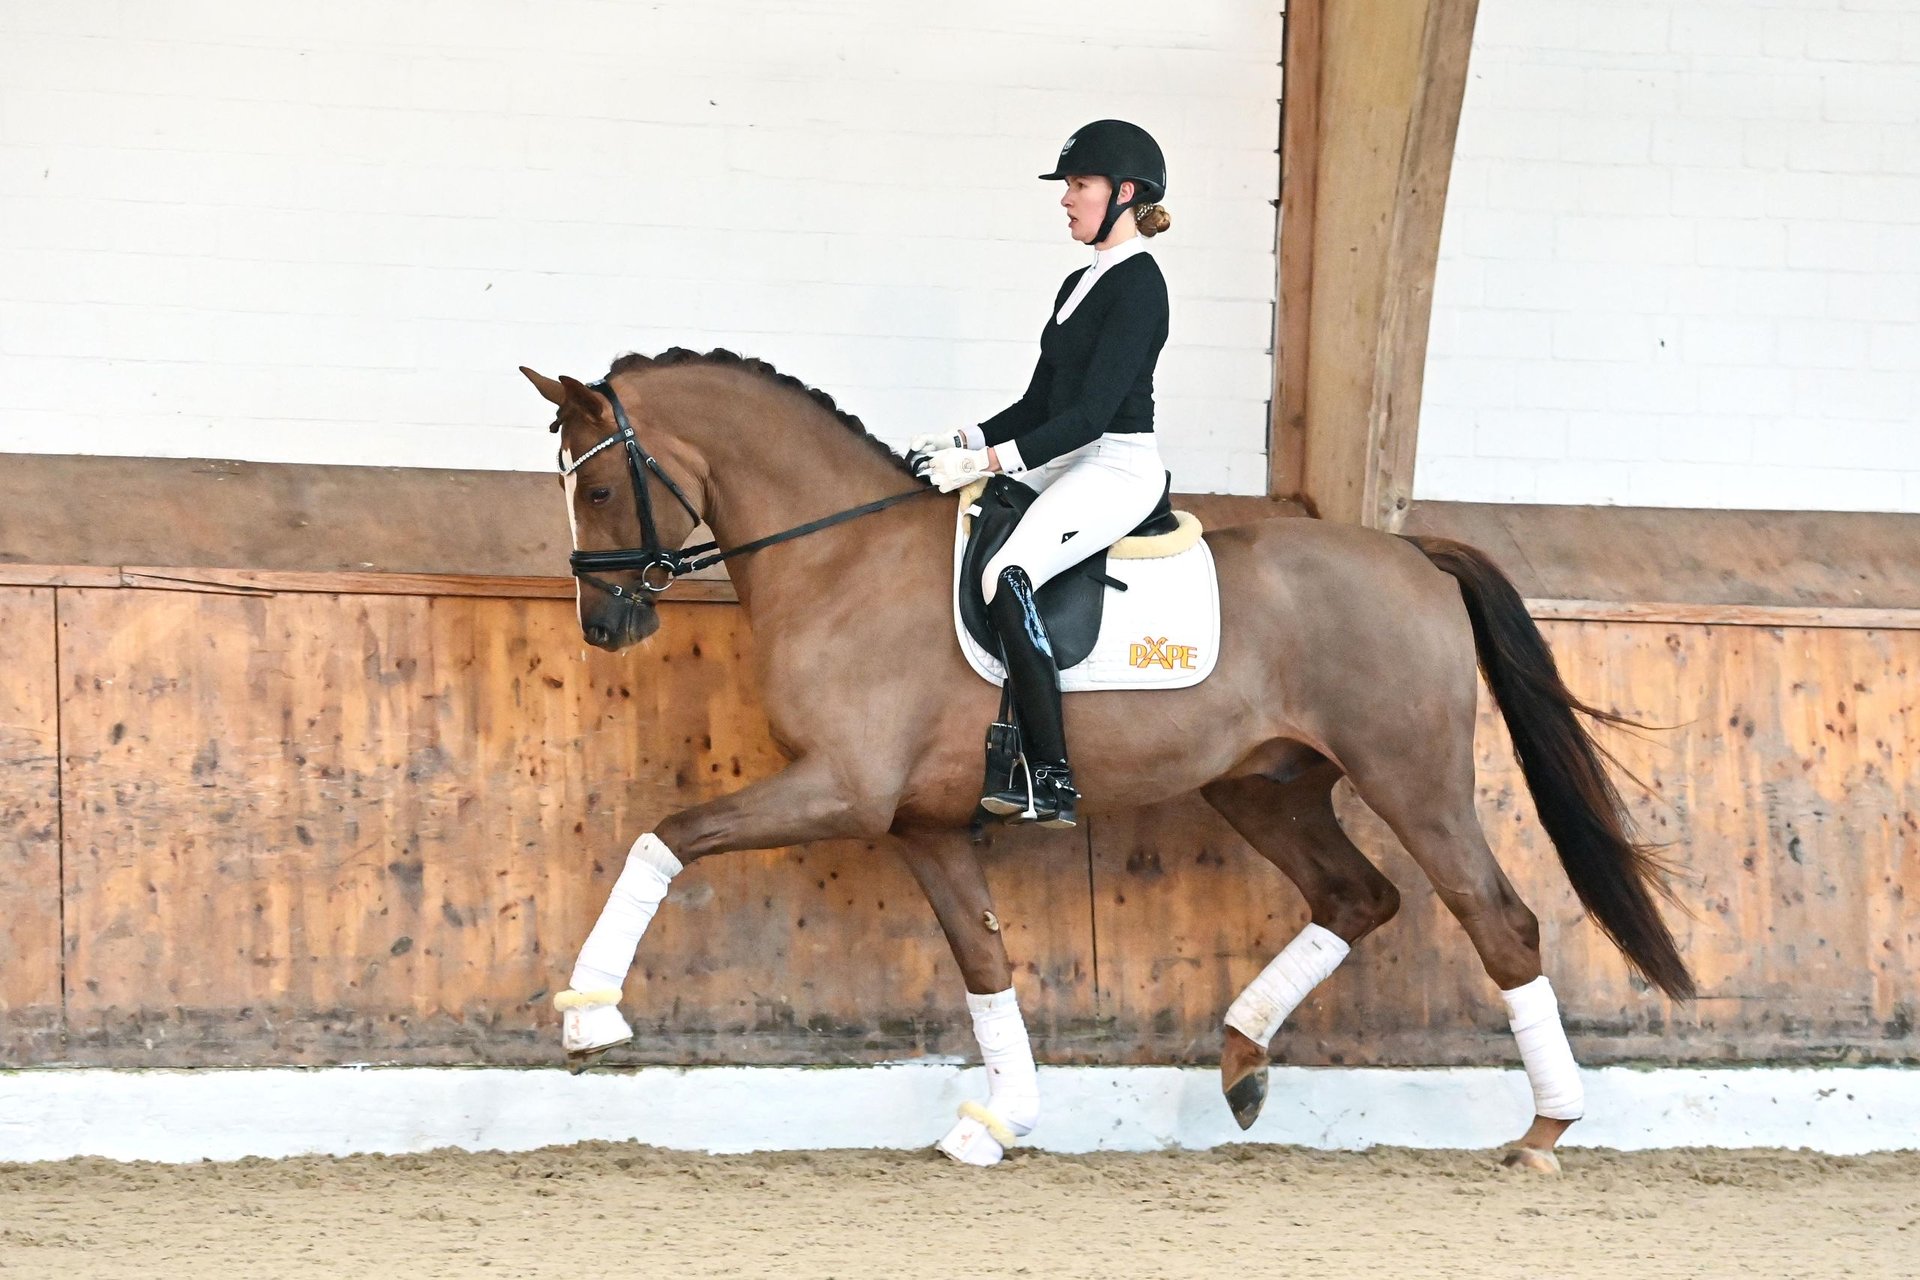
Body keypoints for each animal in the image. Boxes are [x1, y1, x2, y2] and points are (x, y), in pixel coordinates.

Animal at [521, 348, 1692, 1172]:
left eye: (600, 490)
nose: (604, 624)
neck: (841, 555)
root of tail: (1411, 551)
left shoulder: (843, 791)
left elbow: (666, 835)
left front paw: (591, 1015)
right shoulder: (923, 823)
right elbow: (985, 965)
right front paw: (999, 1121)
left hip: (1413, 776)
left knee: (1498, 919)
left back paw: (1543, 1132)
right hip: (1263, 785)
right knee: (1357, 896)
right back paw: (1242, 1062)